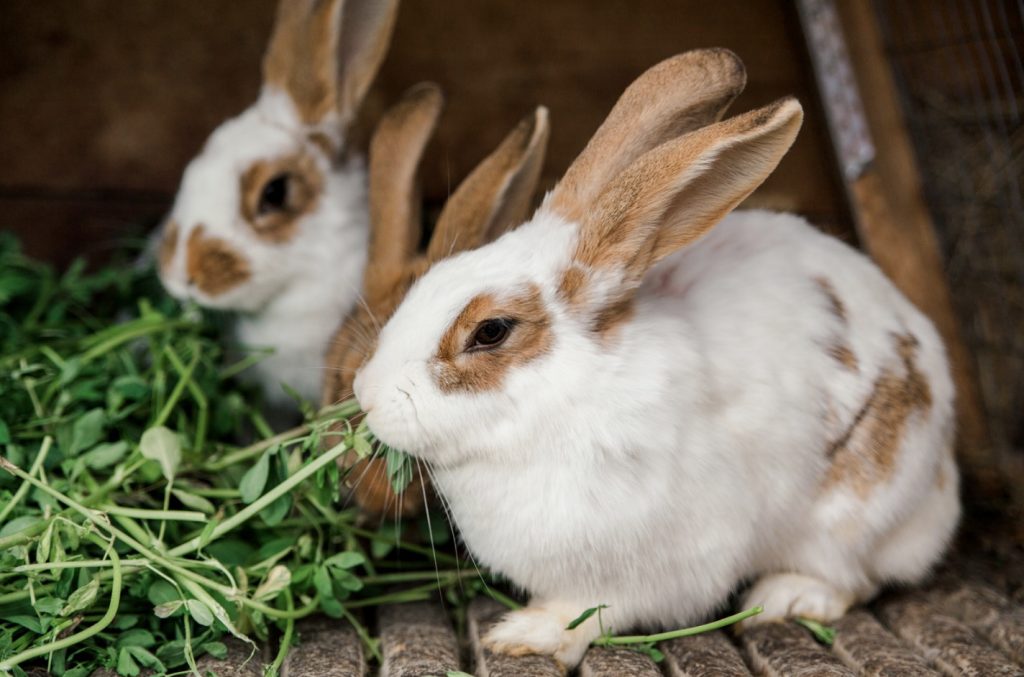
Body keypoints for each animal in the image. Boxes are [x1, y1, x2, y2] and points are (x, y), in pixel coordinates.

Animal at [351, 49, 960, 667]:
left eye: (490, 332)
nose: (365, 395)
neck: (562, 401)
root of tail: (944, 485)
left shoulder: (662, 562)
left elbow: (596, 609)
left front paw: (527, 634)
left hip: (853, 511)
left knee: (853, 577)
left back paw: (787, 597)